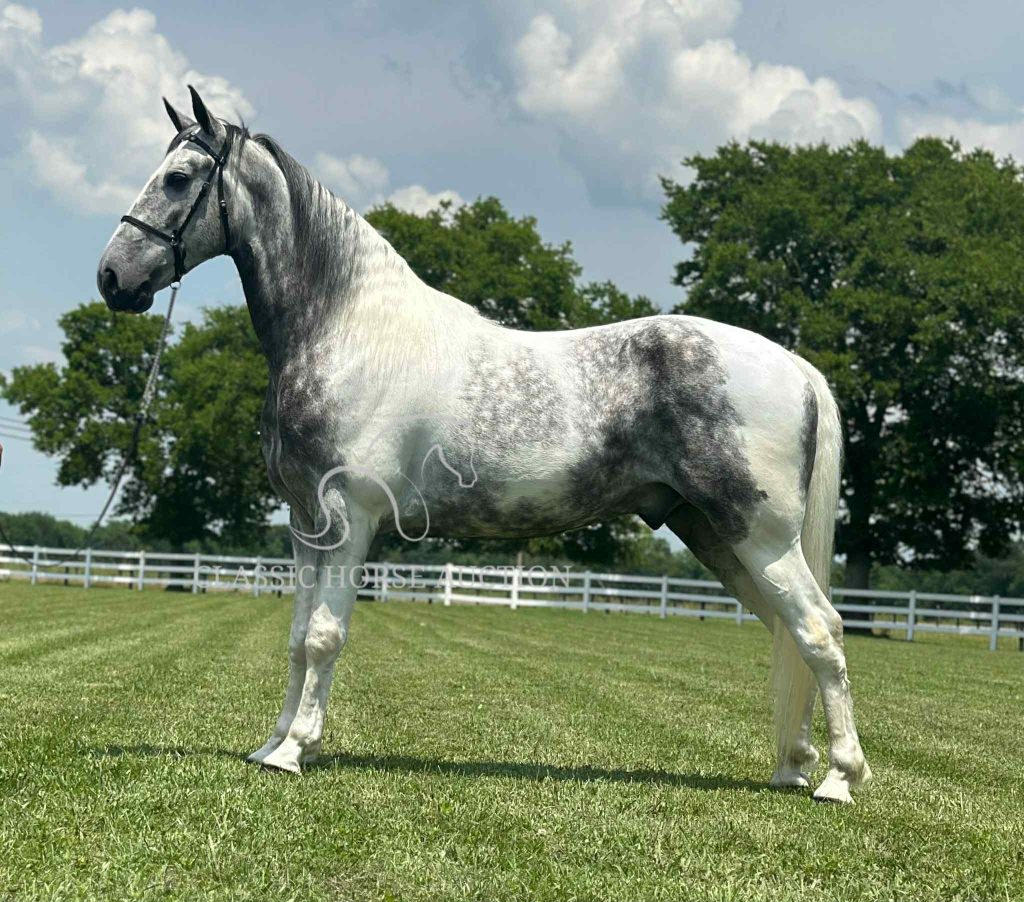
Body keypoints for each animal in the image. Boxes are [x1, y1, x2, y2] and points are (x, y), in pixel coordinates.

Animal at [97, 87, 871, 802]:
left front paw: (295, 752)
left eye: (179, 178)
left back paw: (839, 777)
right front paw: (274, 743)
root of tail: (792, 365)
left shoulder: (350, 520)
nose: (112, 278)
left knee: (822, 630)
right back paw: (791, 766)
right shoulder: (306, 524)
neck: (348, 331)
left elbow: (324, 636)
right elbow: (295, 638)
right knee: (789, 633)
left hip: (760, 535)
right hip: (717, 535)